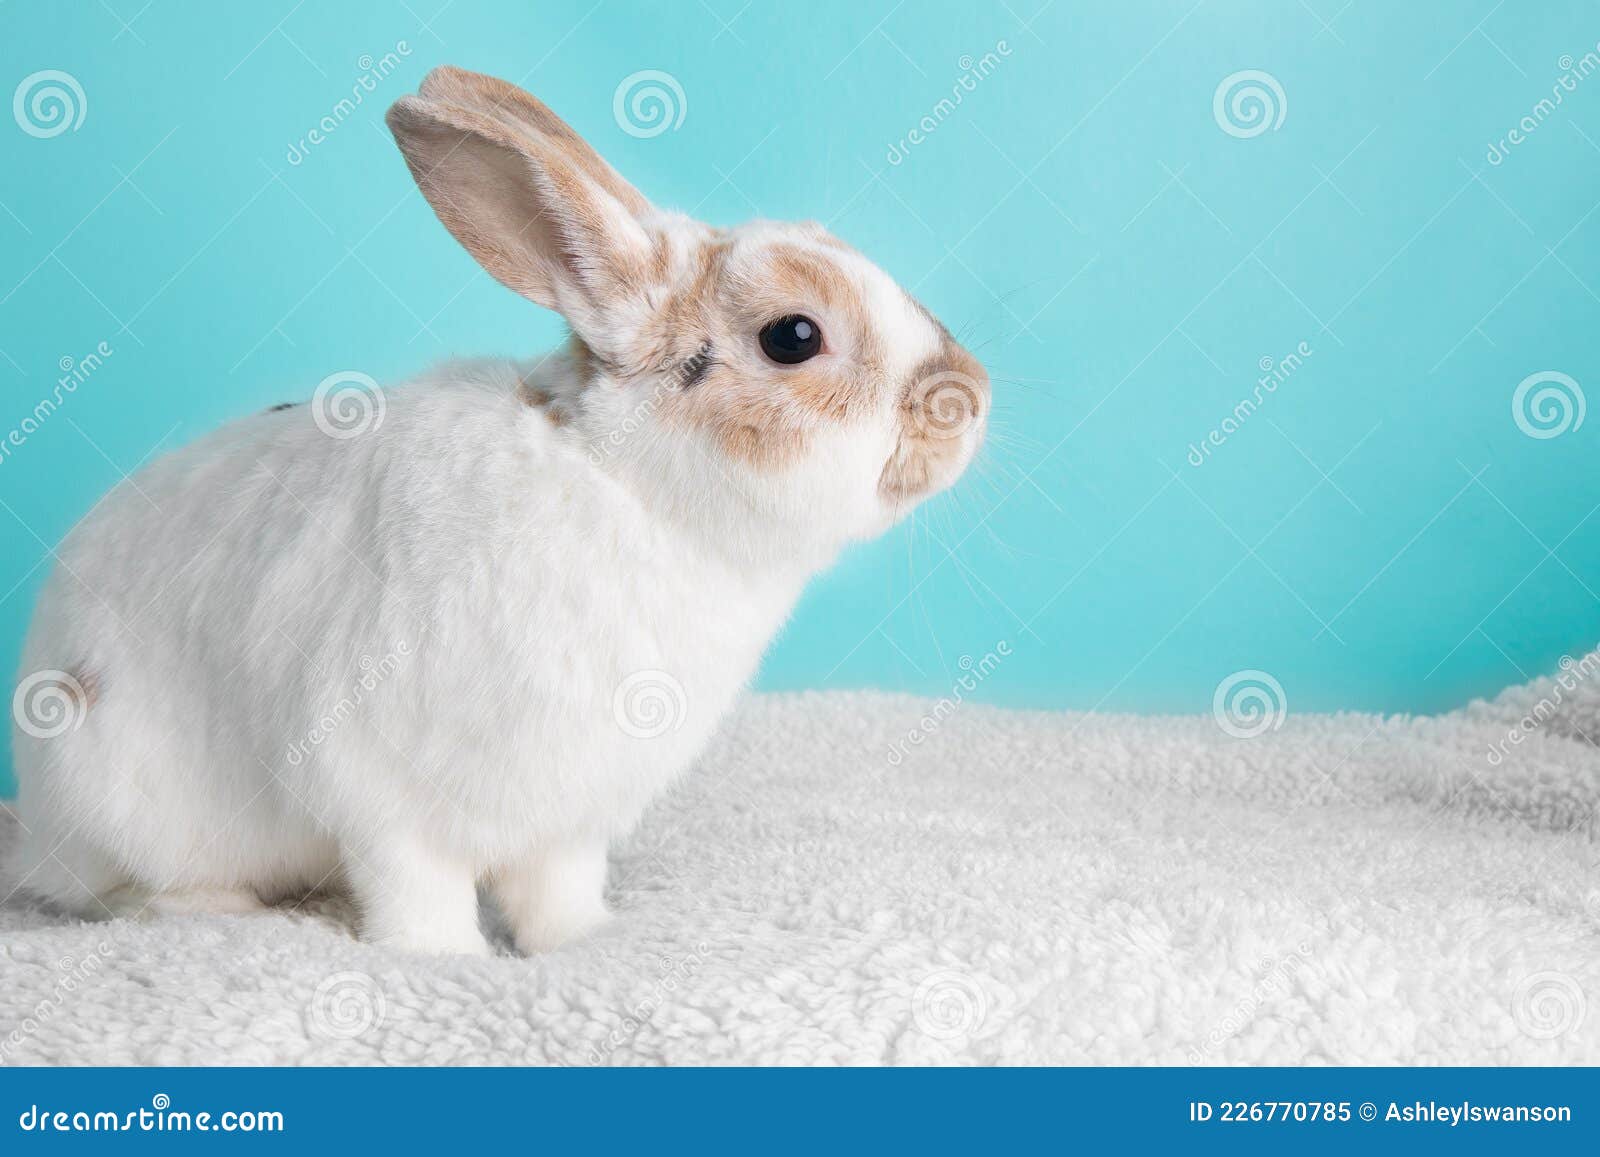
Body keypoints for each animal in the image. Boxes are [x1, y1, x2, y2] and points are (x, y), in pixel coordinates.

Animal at [7, 66, 990, 956]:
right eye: (794, 336)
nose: (970, 398)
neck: (628, 487)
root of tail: (40, 822)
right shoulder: (384, 793)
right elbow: (416, 889)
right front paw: (445, 959)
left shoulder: (570, 812)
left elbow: (559, 885)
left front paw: (583, 944)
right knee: (131, 891)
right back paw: (225, 909)